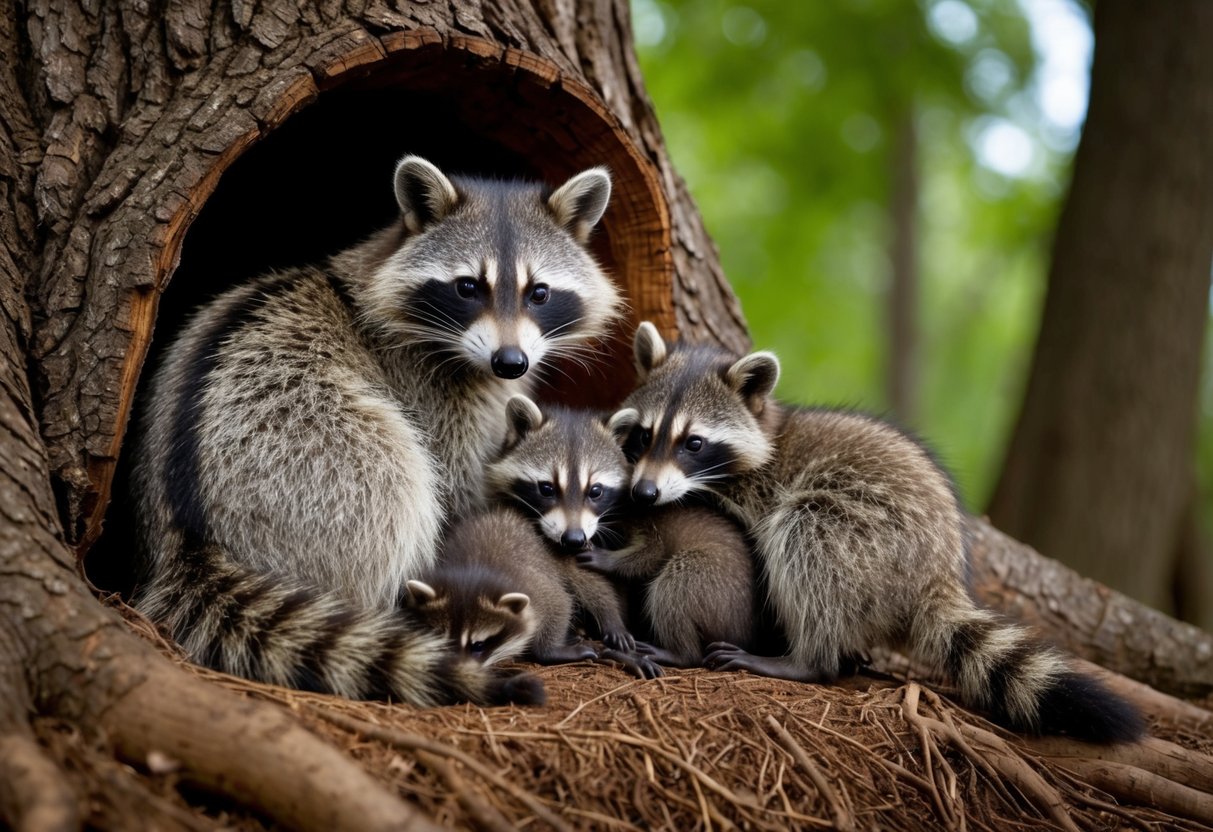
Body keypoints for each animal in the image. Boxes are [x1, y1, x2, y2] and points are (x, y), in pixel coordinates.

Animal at [131, 156, 621, 706]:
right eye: (467, 287)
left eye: (539, 293)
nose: (510, 362)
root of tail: (191, 543)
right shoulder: (426, 388)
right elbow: (460, 491)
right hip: (315, 457)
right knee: (393, 485)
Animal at [613, 322, 1144, 743]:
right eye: (645, 435)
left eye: (693, 443)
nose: (644, 492)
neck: (768, 430)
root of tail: (938, 574)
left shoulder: (759, 490)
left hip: (873, 537)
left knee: (807, 539)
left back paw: (810, 656)